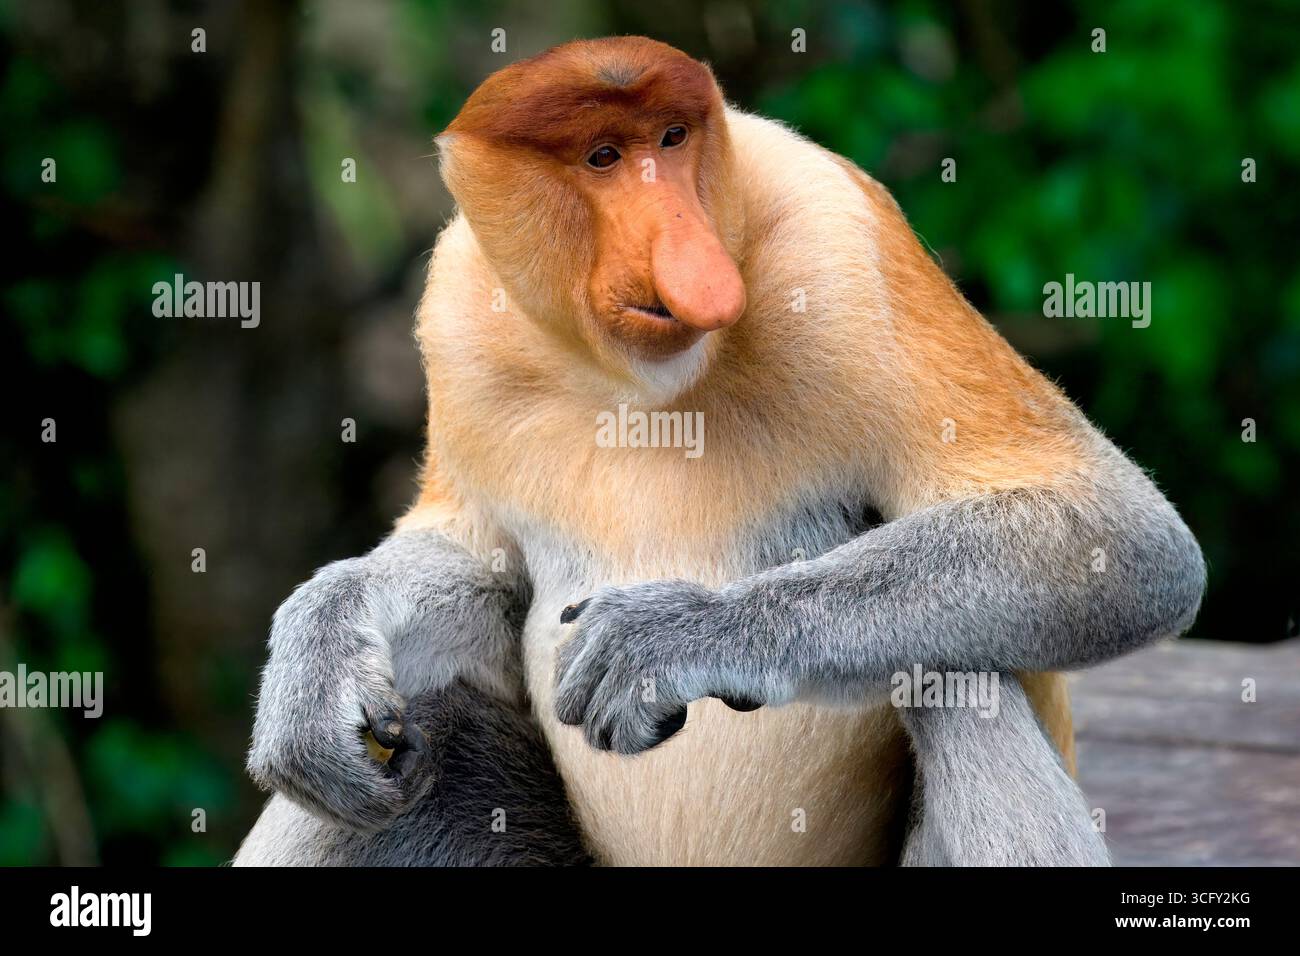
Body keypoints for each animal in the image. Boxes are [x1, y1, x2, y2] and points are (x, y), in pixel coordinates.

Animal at [234, 37, 1204, 867]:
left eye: (672, 138)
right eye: (602, 158)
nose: (693, 255)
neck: (637, 385)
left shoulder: (842, 242)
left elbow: (1127, 540)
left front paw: (675, 635)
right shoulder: (459, 312)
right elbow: (485, 571)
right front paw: (317, 652)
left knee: (955, 679)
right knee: (432, 723)